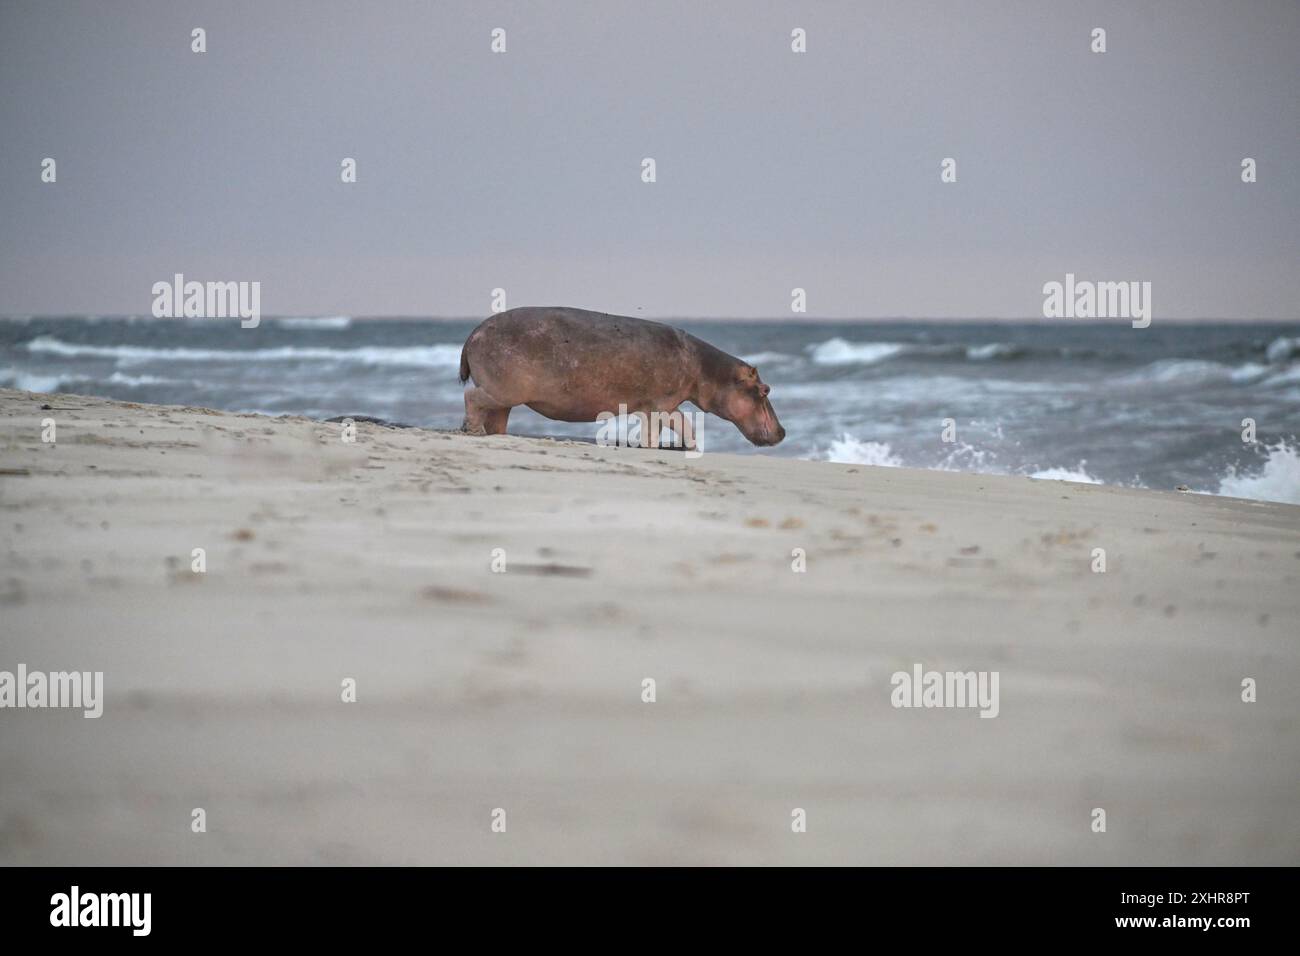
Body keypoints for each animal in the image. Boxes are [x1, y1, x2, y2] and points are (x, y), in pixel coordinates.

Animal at [458, 307, 785, 448]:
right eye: (765, 389)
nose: (783, 432)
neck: (707, 370)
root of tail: (473, 332)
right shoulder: (657, 404)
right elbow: (658, 430)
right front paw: (652, 447)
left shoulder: (666, 403)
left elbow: (683, 424)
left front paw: (689, 447)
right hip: (501, 389)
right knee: (471, 397)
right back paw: (473, 432)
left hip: (504, 397)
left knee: (497, 417)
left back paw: (491, 435)